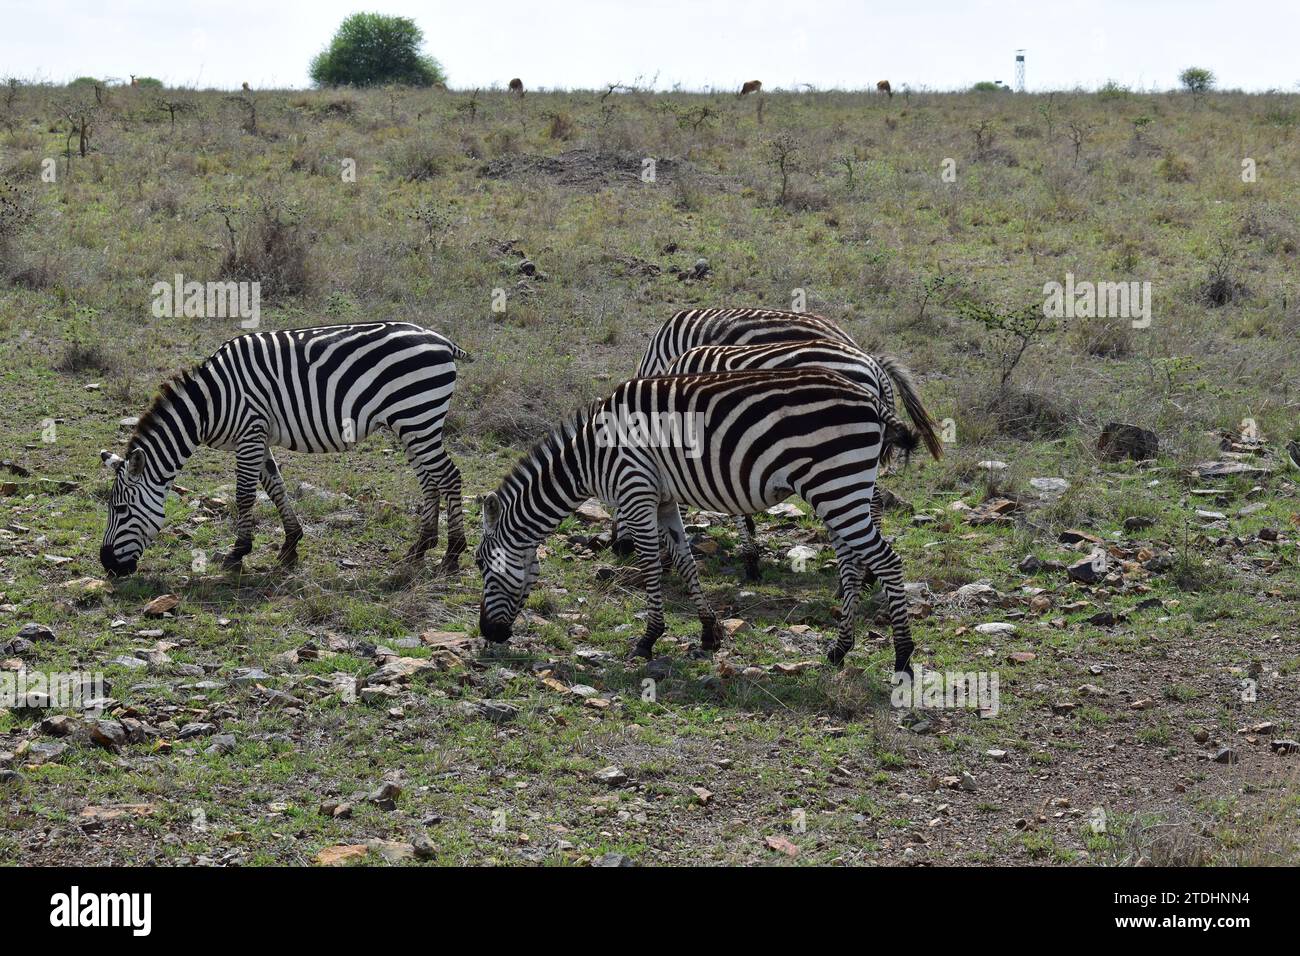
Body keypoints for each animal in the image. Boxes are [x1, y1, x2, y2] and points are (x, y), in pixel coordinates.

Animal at [99, 321, 468, 577]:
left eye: (120, 510)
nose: (107, 565)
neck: (210, 403)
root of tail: (443, 341)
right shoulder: (257, 436)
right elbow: (275, 486)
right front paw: (291, 545)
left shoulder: (249, 432)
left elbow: (245, 495)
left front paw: (238, 552)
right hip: (410, 424)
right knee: (430, 479)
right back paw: (421, 547)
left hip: (418, 416)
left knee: (449, 476)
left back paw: (452, 553)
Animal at [475, 368, 921, 675]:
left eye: (482, 566)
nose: (487, 634)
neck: (591, 457)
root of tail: (872, 400)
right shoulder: (664, 499)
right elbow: (685, 560)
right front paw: (709, 632)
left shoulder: (635, 490)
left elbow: (651, 567)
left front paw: (648, 639)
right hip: (841, 488)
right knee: (852, 564)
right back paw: (839, 649)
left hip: (835, 484)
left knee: (887, 561)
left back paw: (902, 657)